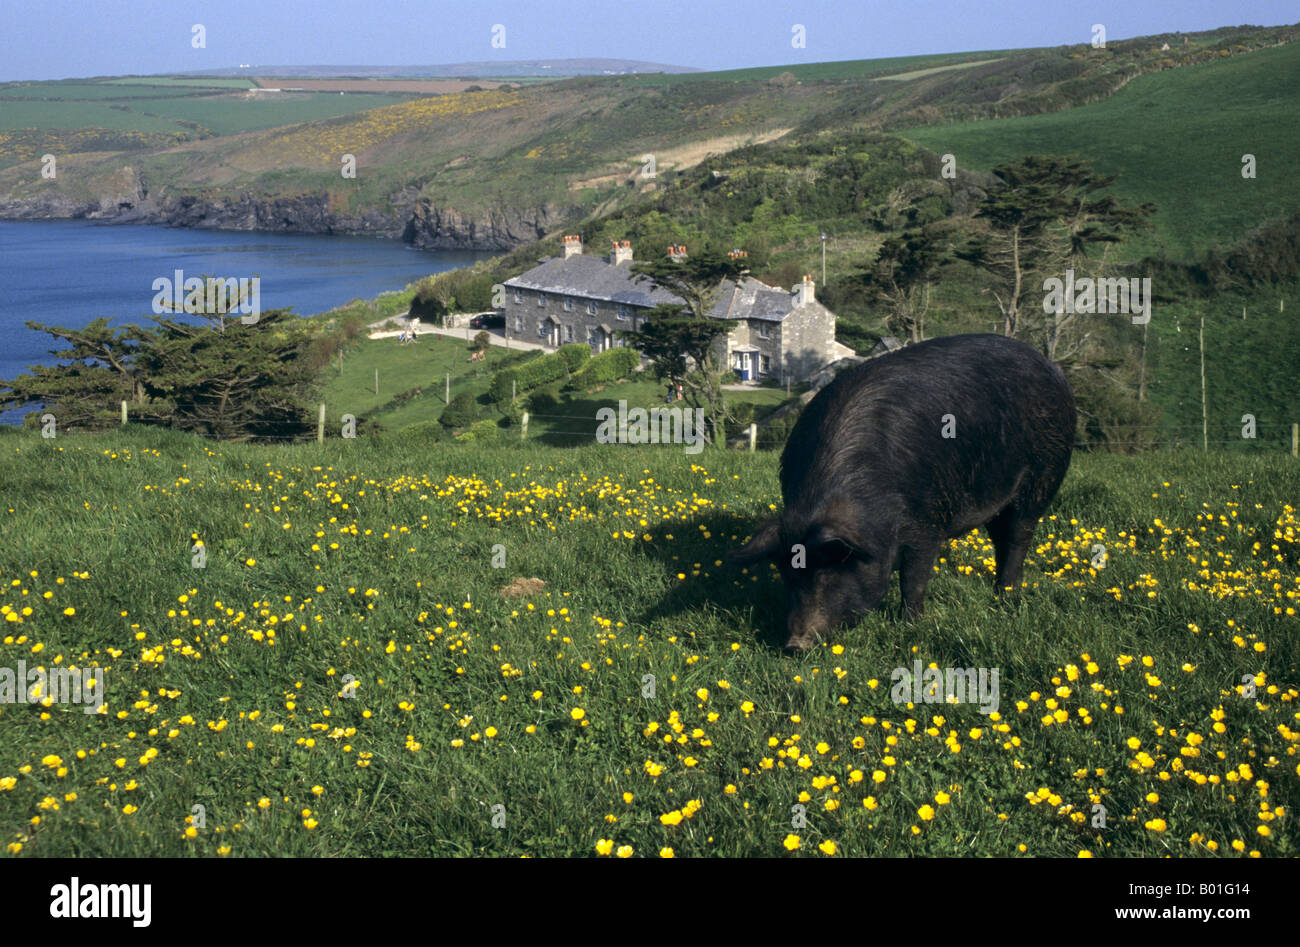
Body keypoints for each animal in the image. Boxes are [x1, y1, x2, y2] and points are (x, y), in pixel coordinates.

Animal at [732, 333, 1075, 651]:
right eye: (788, 577)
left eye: (829, 573)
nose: (794, 645)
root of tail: (1052, 368)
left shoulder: (928, 520)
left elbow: (914, 576)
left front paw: (910, 625)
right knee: (1002, 540)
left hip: (1045, 474)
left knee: (1019, 537)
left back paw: (1004, 600)